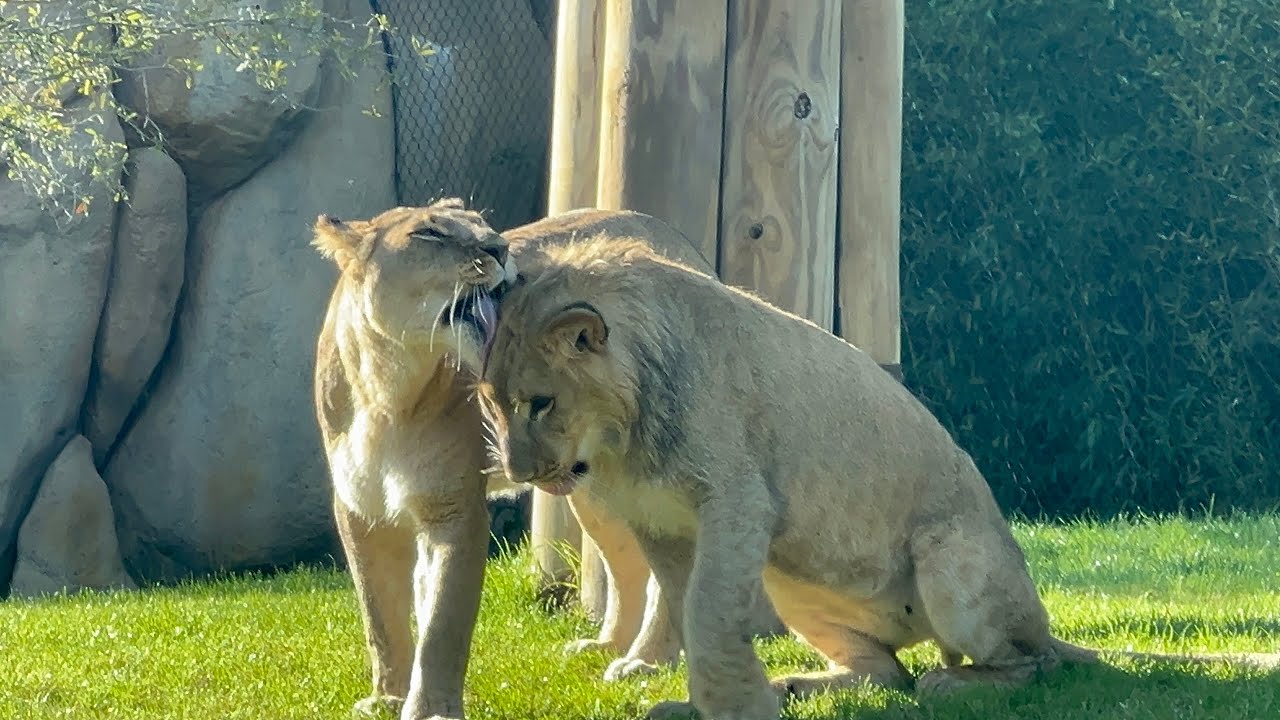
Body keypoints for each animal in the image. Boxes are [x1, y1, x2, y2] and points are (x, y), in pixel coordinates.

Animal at [310, 199, 781, 719]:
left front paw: (431, 708)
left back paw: (645, 660)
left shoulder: (454, 510)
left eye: (482, 223)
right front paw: (388, 696)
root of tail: (673, 236)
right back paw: (607, 646)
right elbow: (381, 615)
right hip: (591, 488)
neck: (388, 385)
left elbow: (441, 624)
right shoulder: (361, 511)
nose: (500, 247)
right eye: (429, 233)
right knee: (626, 563)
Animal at [471, 234, 1280, 720]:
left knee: (1031, 663)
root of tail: (1044, 617)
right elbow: (683, 608)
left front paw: (734, 705)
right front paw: (694, 693)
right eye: (491, 404)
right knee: (889, 671)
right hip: (793, 583)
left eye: (541, 402)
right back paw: (801, 684)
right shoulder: (664, 523)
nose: (518, 473)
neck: (624, 440)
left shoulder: (736, 500)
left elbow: (708, 612)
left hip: (954, 561)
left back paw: (956, 683)